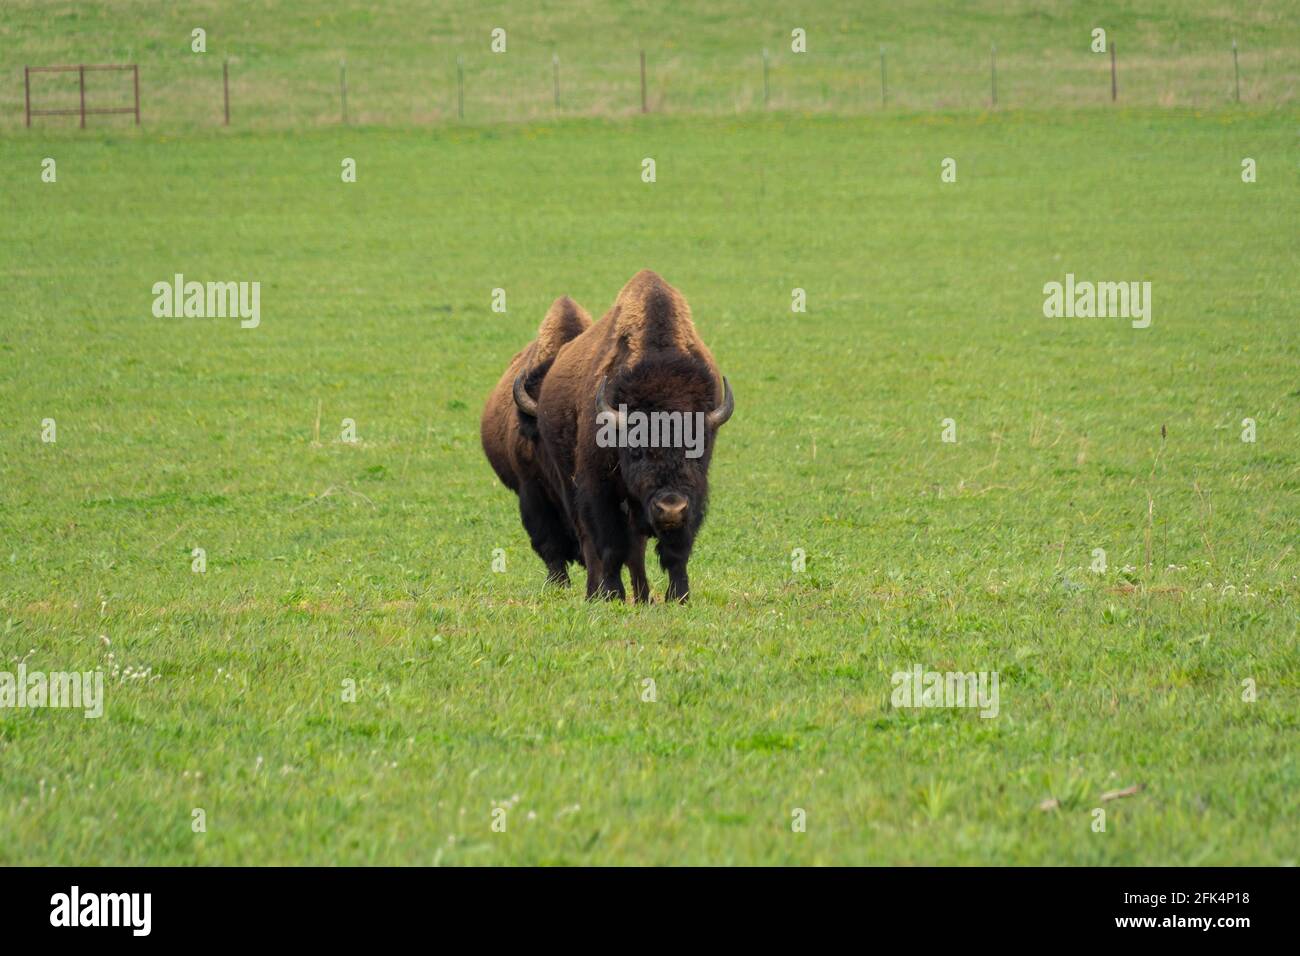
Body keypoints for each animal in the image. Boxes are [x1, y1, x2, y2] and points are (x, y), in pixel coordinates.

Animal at [538, 270, 733, 602]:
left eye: (695, 450)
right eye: (637, 450)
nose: (670, 508)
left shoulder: (694, 495)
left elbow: (675, 552)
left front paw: (679, 597)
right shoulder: (599, 489)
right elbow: (611, 547)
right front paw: (612, 595)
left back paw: (644, 597)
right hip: (566, 482)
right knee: (593, 543)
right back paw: (596, 593)